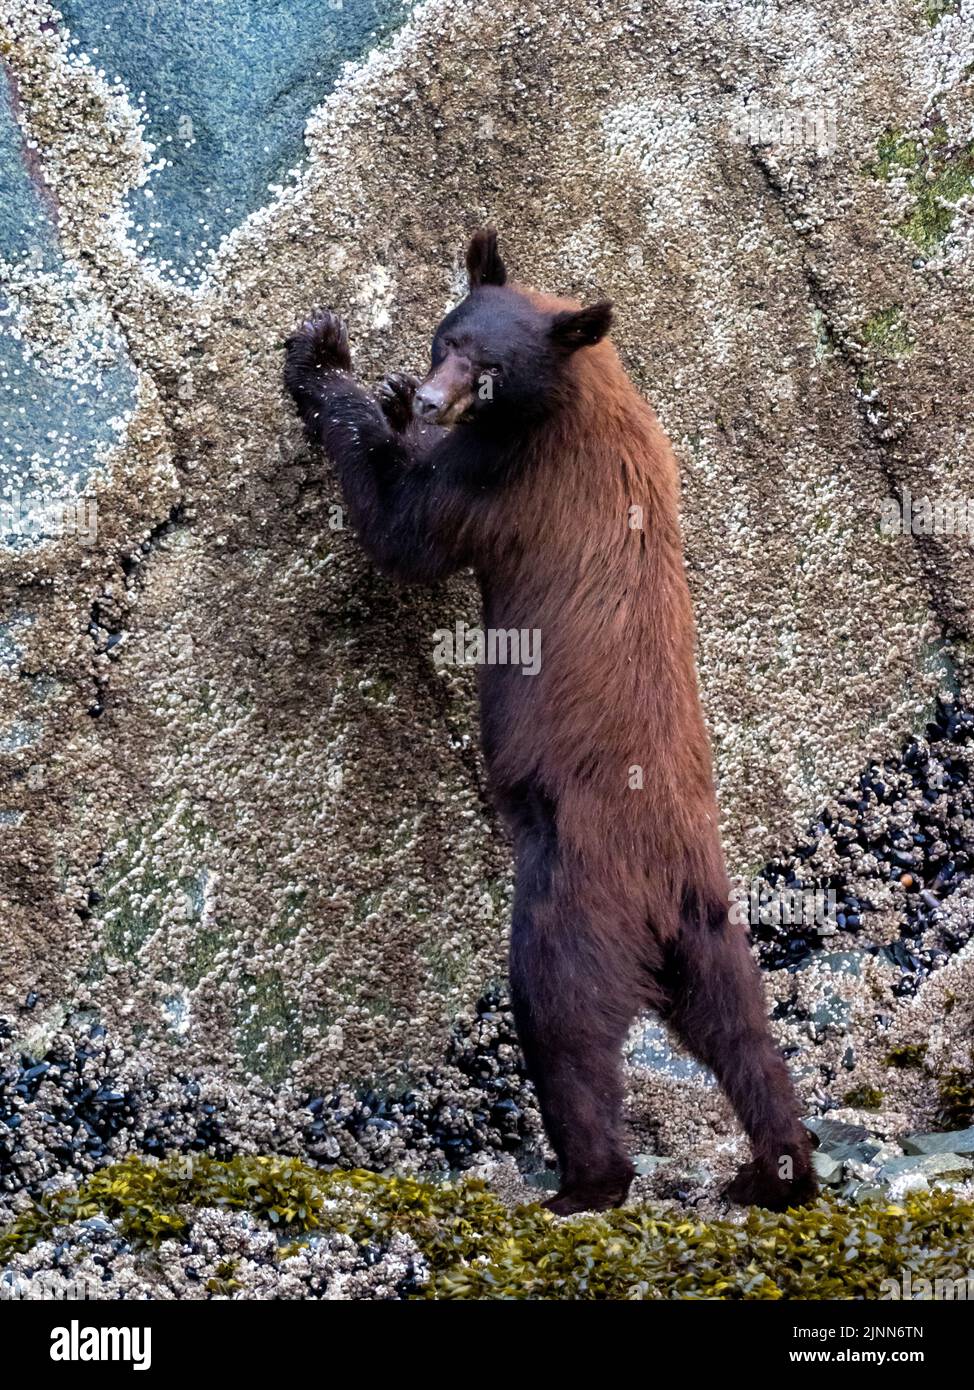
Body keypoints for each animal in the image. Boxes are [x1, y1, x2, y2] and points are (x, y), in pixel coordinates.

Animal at [283, 229, 816, 1215]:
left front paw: (325, 361)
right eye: (444, 340)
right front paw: (385, 394)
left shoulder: (509, 481)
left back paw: (583, 1183)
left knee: (564, 1029)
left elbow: (403, 527)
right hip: (716, 932)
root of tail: (662, 893)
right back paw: (775, 1170)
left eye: (487, 371)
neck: (578, 395)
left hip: (569, 904)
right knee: (746, 1037)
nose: (427, 397)